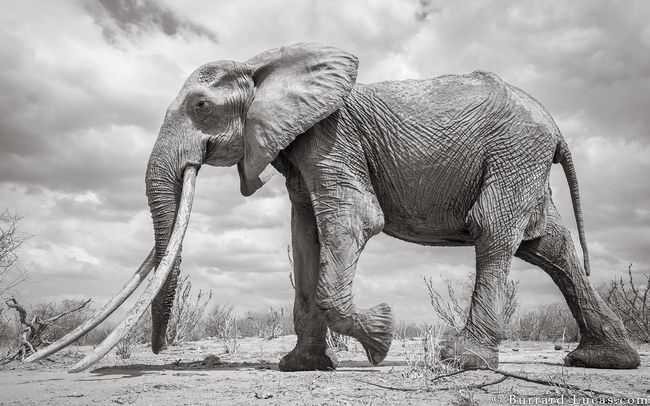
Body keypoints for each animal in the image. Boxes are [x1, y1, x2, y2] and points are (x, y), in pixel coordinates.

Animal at [28, 43, 640, 372]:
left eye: (199, 106)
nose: (156, 351)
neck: (263, 64)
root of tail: (557, 128)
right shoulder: (299, 156)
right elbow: (305, 238)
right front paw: (301, 366)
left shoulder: (332, 140)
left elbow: (351, 222)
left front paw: (380, 341)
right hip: (523, 161)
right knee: (549, 248)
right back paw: (604, 361)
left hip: (515, 153)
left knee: (495, 234)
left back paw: (461, 361)